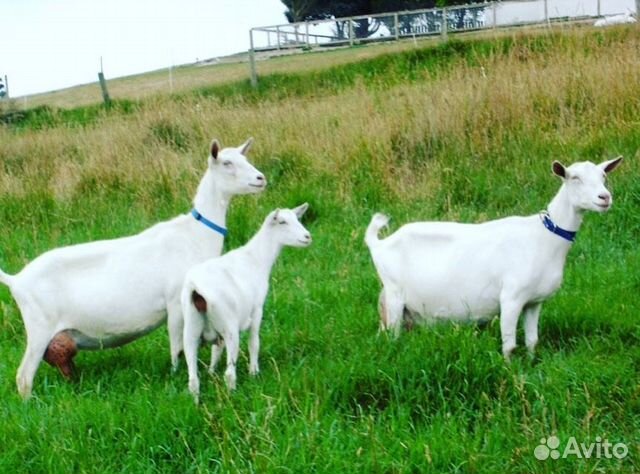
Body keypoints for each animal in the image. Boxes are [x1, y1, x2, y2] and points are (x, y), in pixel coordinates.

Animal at [0, 138, 266, 398]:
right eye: (227, 163)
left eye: (244, 158)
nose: (260, 178)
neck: (195, 234)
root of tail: (16, 279)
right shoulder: (175, 302)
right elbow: (177, 347)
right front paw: (175, 374)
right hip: (39, 327)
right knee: (23, 376)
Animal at [181, 204, 311, 401]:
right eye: (282, 222)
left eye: (298, 219)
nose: (307, 237)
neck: (256, 258)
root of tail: (196, 288)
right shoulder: (257, 309)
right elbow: (254, 343)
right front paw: (254, 373)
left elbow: (215, 351)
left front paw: (211, 372)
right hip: (229, 325)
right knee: (229, 374)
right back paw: (232, 398)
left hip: (191, 327)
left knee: (193, 379)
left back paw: (197, 403)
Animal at [365, 158, 623, 359]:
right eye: (574, 177)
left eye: (603, 176)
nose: (604, 197)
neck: (543, 238)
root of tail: (379, 244)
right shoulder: (511, 297)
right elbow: (509, 345)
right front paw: (511, 373)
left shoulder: (533, 301)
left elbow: (532, 341)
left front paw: (531, 365)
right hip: (394, 295)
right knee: (393, 336)